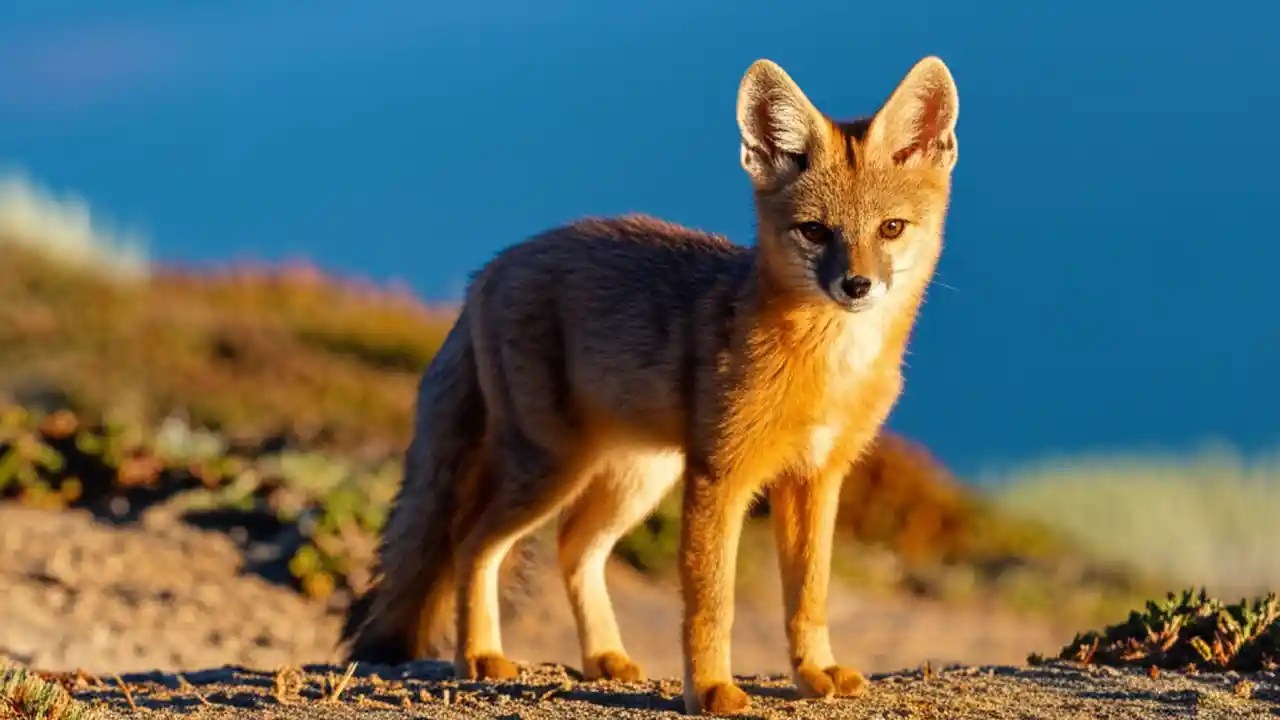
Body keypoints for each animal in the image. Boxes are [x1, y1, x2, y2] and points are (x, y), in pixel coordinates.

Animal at [341, 55, 960, 715]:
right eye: (815, 232)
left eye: (891, 228)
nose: (856, 285)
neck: (830, 367)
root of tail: (491, 267)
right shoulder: (722, 475)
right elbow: (712, 603)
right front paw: (710, 688)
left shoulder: (816, 477)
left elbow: (809, 597)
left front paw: (815, 672)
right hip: (552, 470)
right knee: (469, 542)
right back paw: (479, 656)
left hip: (633, 479)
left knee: (572, 546)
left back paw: (603, 659)